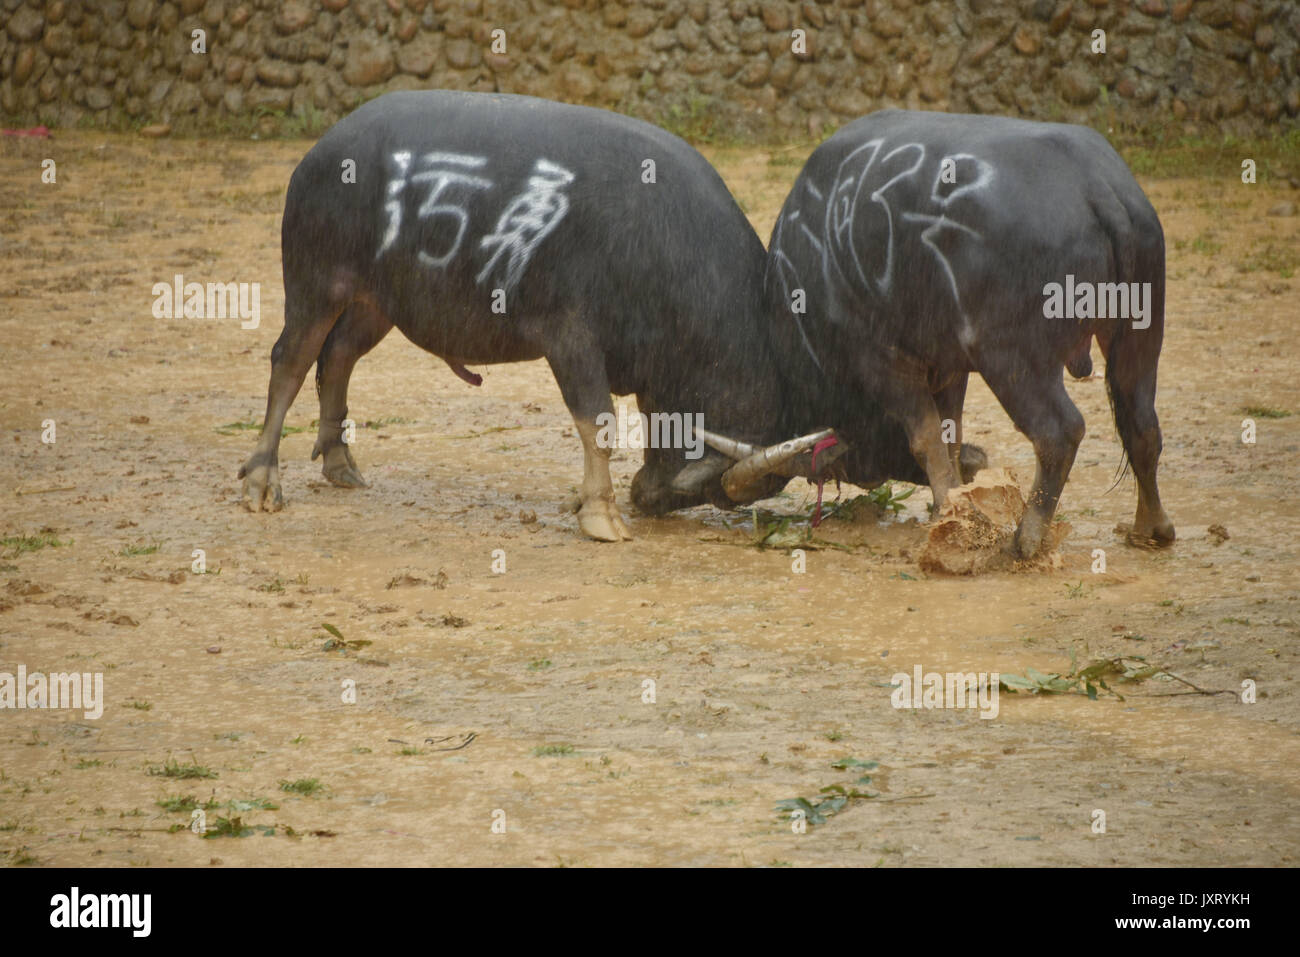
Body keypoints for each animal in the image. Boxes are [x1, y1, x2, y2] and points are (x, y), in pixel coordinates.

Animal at [740, 109, 1176, 557]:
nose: (849, 469)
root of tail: (1096, 186)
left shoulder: (882, 360)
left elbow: (927, 437)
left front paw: (948, 511)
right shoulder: (949, 366)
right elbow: (950, 434)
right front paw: (948, 504)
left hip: (1012, 358)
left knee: (1060, 431)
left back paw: (1026, 538)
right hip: (1140, 336)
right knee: (1142, 424)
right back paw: (1152, 527)